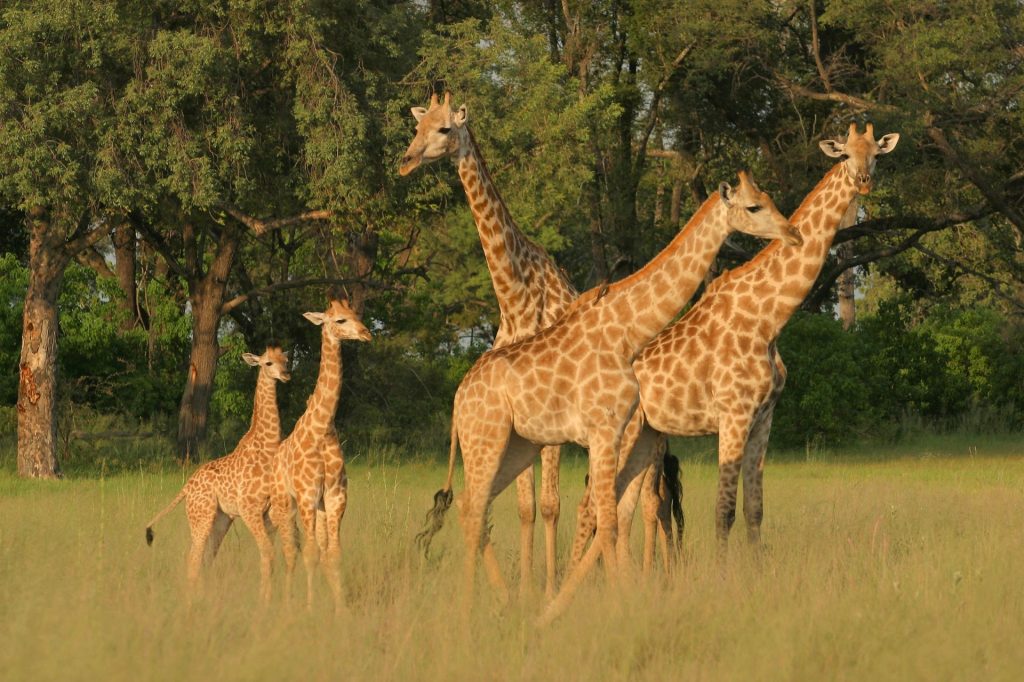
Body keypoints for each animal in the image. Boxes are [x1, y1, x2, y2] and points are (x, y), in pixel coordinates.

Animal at [145, 346, 290, 602]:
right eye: (268, 363)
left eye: (285, 361)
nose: (285, 375)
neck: (267, 446)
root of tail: (186, 487)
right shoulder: (249, 509)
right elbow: (268, 552)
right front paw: (264, 600)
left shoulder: (269, 512)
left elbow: (269, 553)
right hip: (201, 516)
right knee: (193, 556)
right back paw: (194, 599)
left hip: (221, 518)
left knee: (207, 556)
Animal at [268, 298, 372, 611]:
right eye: (339, 320)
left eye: (356, 315)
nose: (366, 333)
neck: (323, 426)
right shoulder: (307, 496)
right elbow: (311, 553)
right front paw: (310, 608)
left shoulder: (335, 496)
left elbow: (333, 553)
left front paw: (339, 609)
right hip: (285, 502)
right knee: (291, 549)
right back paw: (287, 601)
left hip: (321, 507)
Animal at [400, 91, 577, 598]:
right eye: (416, 128)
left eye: (445, 129)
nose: (406, 161)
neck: (515, 300)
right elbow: (525, 508)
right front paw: (526, 589)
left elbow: (551, 505)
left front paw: (549, 589)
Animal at [416, 170, 801, 621]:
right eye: (754, 207)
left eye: (768, 199)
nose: (792, 233)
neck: (626, 331)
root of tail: (459, 400)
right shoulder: (602, 431)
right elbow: (611, 521)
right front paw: (618, 607)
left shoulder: (616, 432)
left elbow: (612, 518)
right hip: (486, 440)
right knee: (475, 508)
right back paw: (467, 611)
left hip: (516, 448)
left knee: (471, 506)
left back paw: (497, 602)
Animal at [572, 123, 900, 564]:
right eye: (846, 154)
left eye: (877, 155)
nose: (864, 181)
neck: (768, 319)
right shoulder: (733, 414)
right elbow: (724, 509)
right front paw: (723, 574)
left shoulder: (764, 417)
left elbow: (754, 508)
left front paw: (756, 571)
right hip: (616, 437)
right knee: (590, 506)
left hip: (646, 437)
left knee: (624, 509)